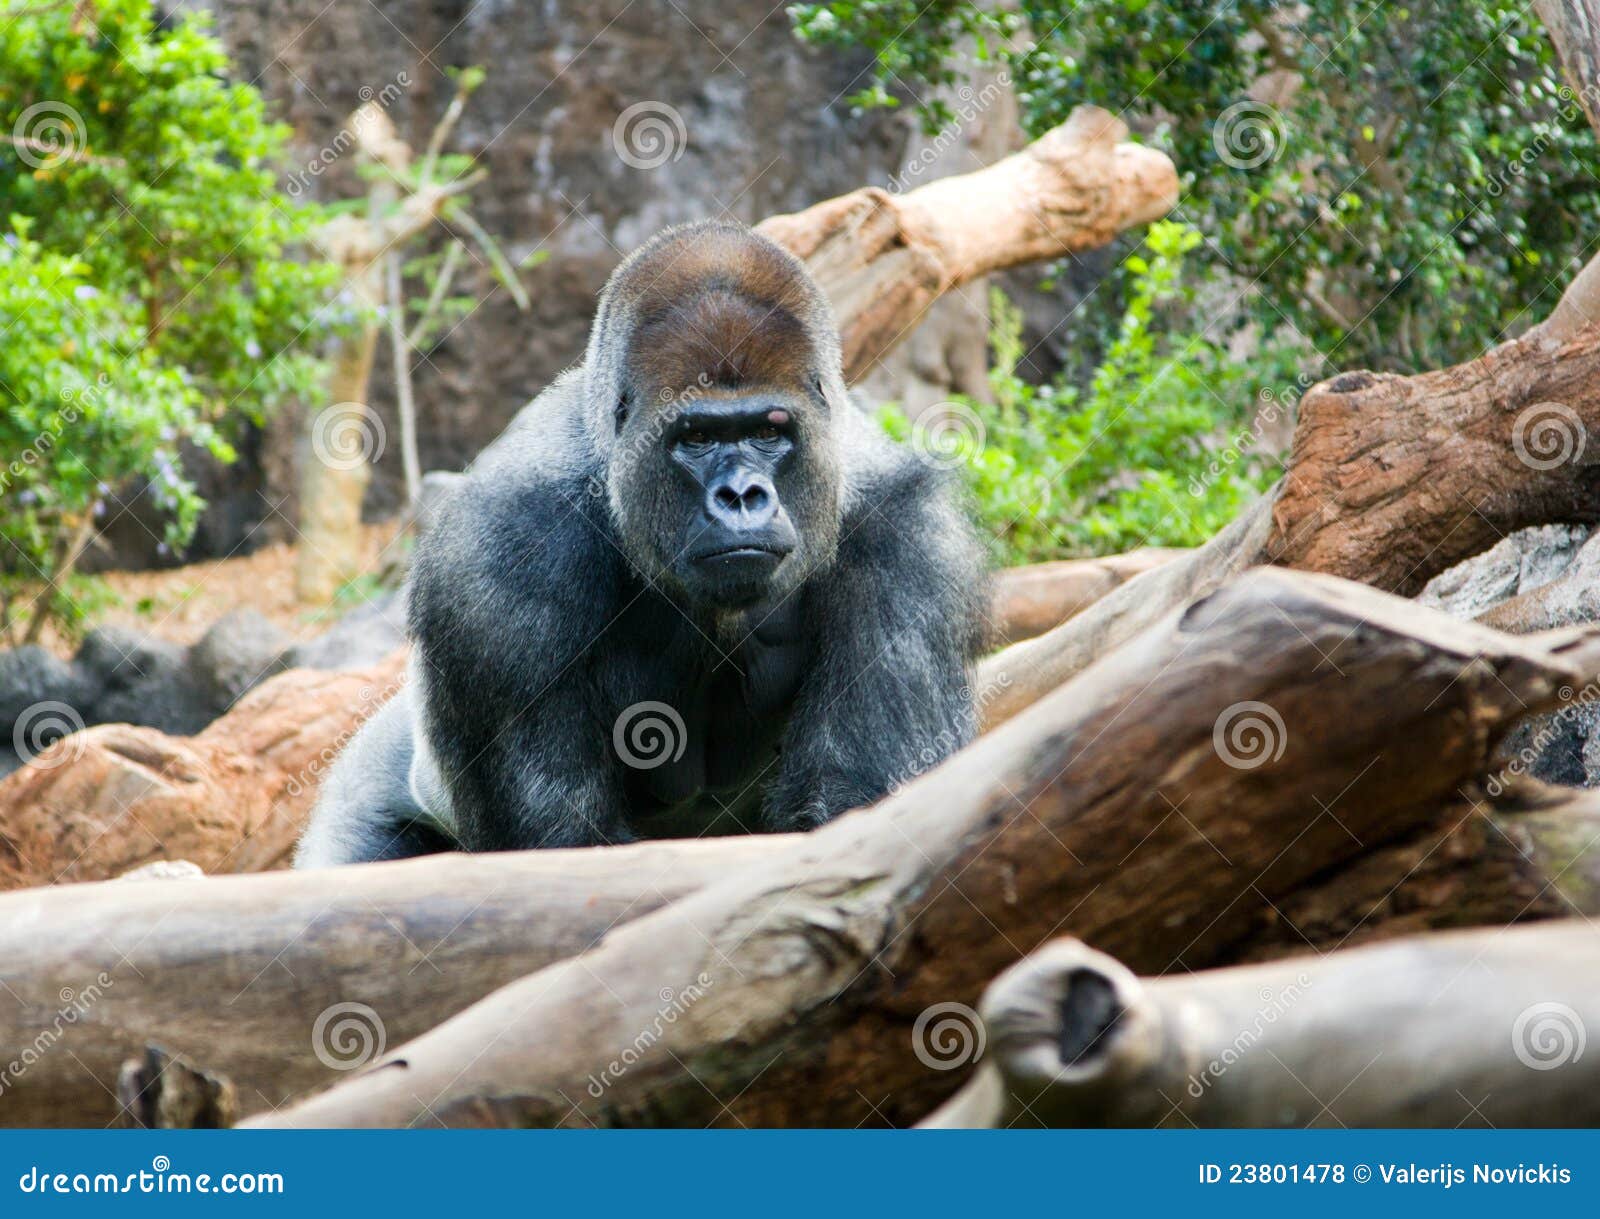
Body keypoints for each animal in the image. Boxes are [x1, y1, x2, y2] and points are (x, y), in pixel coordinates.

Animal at [294, 220, 989, 866]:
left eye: (769, 432)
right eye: (696, 438)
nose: (742, 496)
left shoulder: (908, 544)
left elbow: (853, 807)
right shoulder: (495, 568)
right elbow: (563, 842)